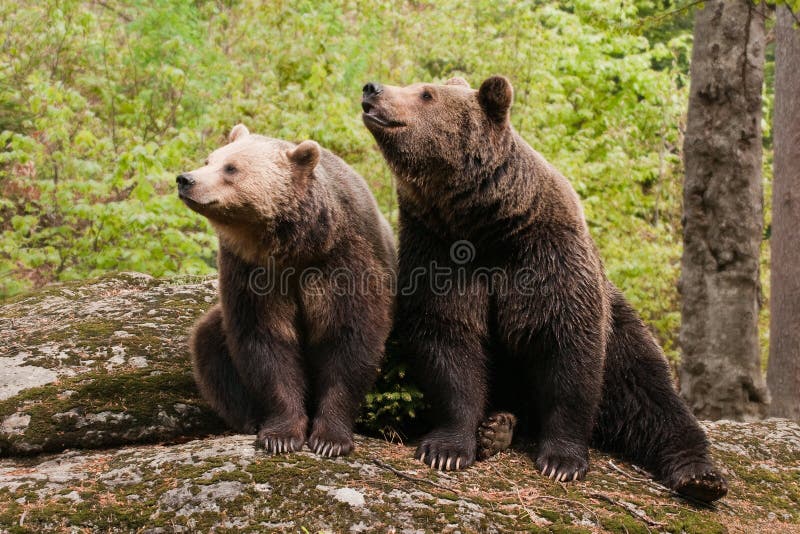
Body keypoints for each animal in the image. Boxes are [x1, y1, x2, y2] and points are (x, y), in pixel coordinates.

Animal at [177, 124, 396, 457]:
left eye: (231, 168)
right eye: (208, 160)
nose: (185, 179)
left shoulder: (345, 261)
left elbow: (349, 337)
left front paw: (330, 439)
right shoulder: (252, 272)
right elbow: (266, 340)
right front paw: (280, 434)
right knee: (210, 343)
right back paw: (250, 418)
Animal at [361, 76, 727, 502]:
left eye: (425, 94)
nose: (372, 89)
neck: (483, 222)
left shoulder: (547, 257)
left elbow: (565, 348)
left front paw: (561, 461)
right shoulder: (438, 250)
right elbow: (449, 340)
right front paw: (446, 448)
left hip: (623, 328)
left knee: (650, 392)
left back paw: (700, 475)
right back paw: (498, 429)